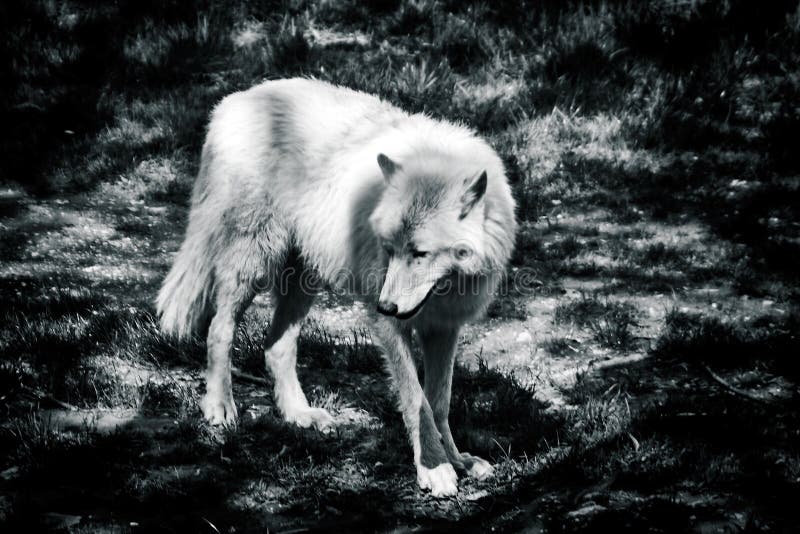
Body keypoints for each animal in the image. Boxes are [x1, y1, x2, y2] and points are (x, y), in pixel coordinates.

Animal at [156, 78, 517, 497]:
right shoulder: (390, 327)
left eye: (420, 253)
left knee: (275, 347)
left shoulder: (444, 328)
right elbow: (416, 400)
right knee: (219, 328)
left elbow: (439, 401)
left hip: (303, 280)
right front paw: (434, 467)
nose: (386, 306)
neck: (447, 289)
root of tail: (233, 102)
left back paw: (300, 414)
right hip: (255, 260)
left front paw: (457, 459)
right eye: (389, 249)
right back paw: (219, 405)